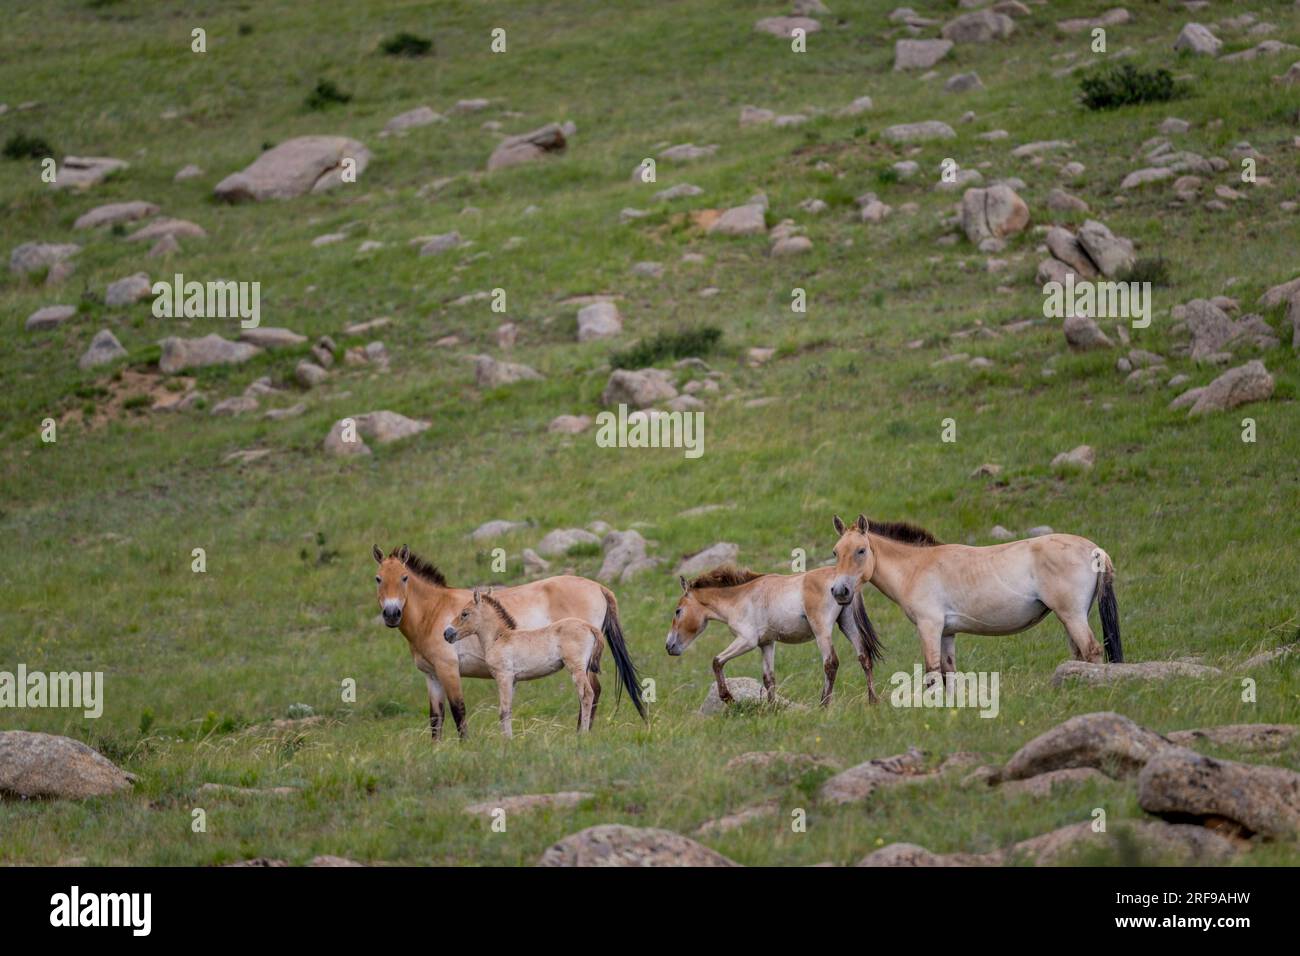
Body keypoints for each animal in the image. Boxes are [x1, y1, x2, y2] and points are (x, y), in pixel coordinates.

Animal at [443, 589, 614, 738]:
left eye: (465, 613)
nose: (447, 634)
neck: (498, 638)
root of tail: (589, 627)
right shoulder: (513, 681)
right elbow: (508, 710)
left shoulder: (503, 677)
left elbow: (503, 711)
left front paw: (507, 740)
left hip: (576, 668)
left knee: (587, 694)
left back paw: (582, 734)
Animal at [664, 565, 883, 707]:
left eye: (678, 611)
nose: (669, 646)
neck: (740, 597)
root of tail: (844, 582)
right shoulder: (767, 644)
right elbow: (769, 678)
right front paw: (771, 710)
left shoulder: (747, 641)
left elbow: (717, 661)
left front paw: (728, 698)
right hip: (847, 625)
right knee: (864, 657)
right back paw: (872, 702)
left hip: (822, 630)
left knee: (831, 663)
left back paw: (823, 705)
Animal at [828, 514, 1122, 688]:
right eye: (835, 552)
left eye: (861, 550)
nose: (840, 591)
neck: (917, 567)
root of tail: (1095, 550)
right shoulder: (946, 633)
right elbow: (948, 673)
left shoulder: (929, 626)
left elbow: (932, 672)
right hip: (1070, 617)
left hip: (1072, 615)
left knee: (1092, 650)